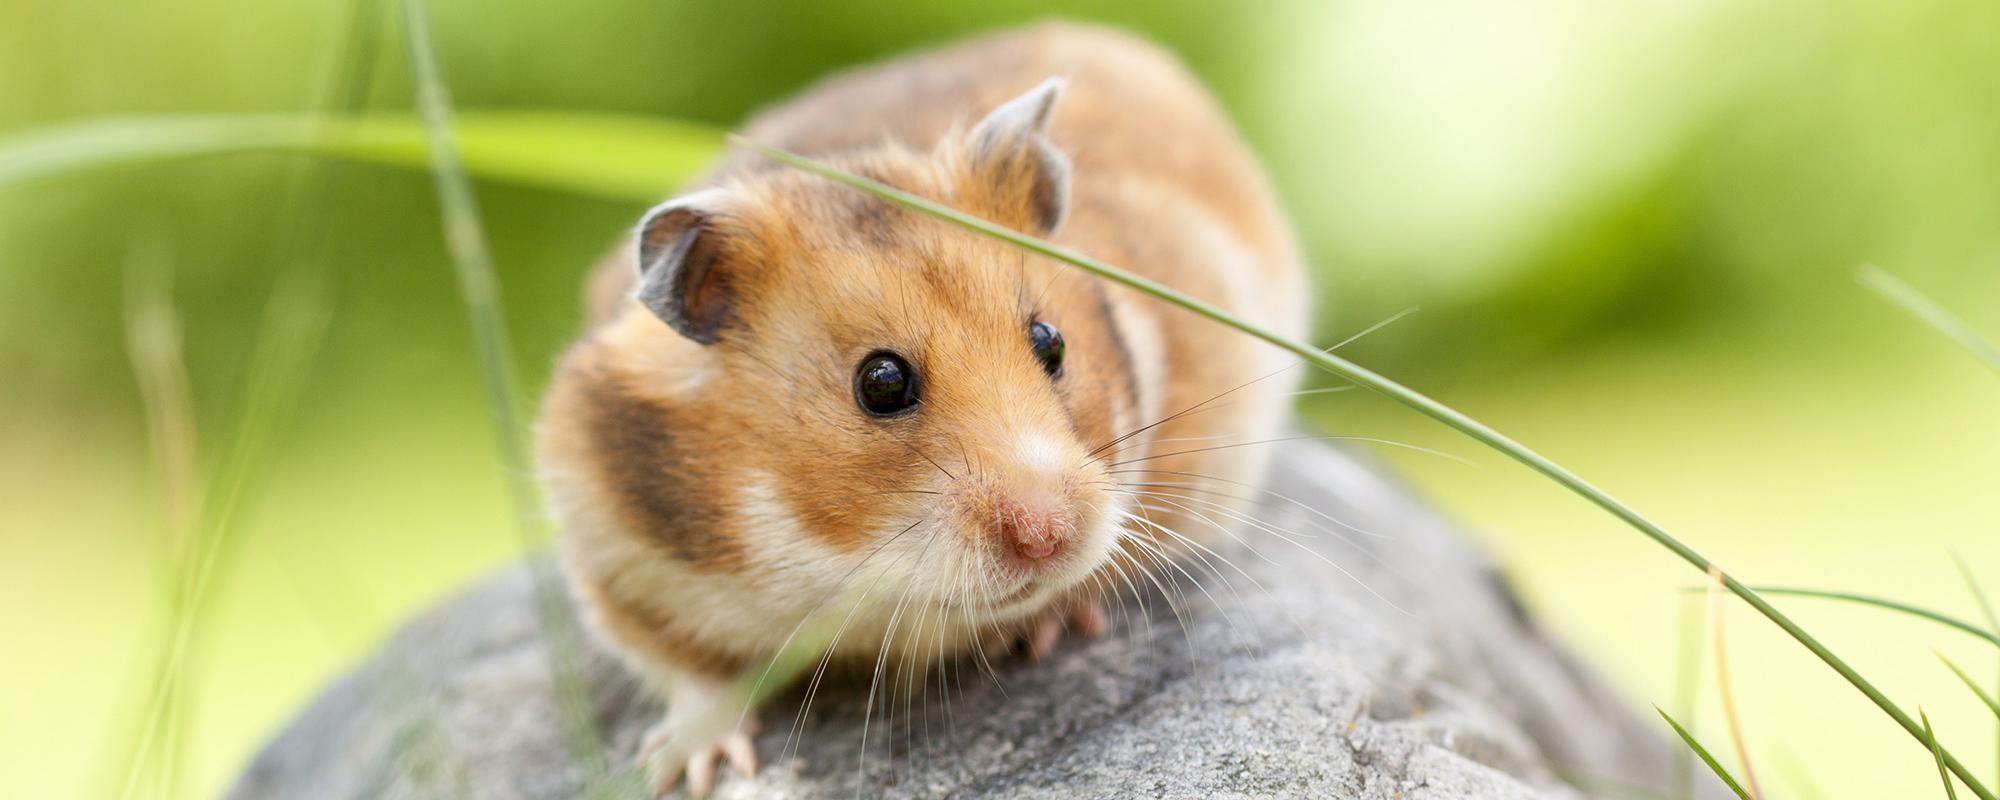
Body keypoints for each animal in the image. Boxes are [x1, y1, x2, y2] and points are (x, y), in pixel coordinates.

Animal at [535, 22, 1309, 797]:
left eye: (1051, 341)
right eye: (880, 382)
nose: (1049, 537)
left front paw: (1045, 629)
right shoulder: (610, 548)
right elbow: (686, 670)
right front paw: (690, 769)